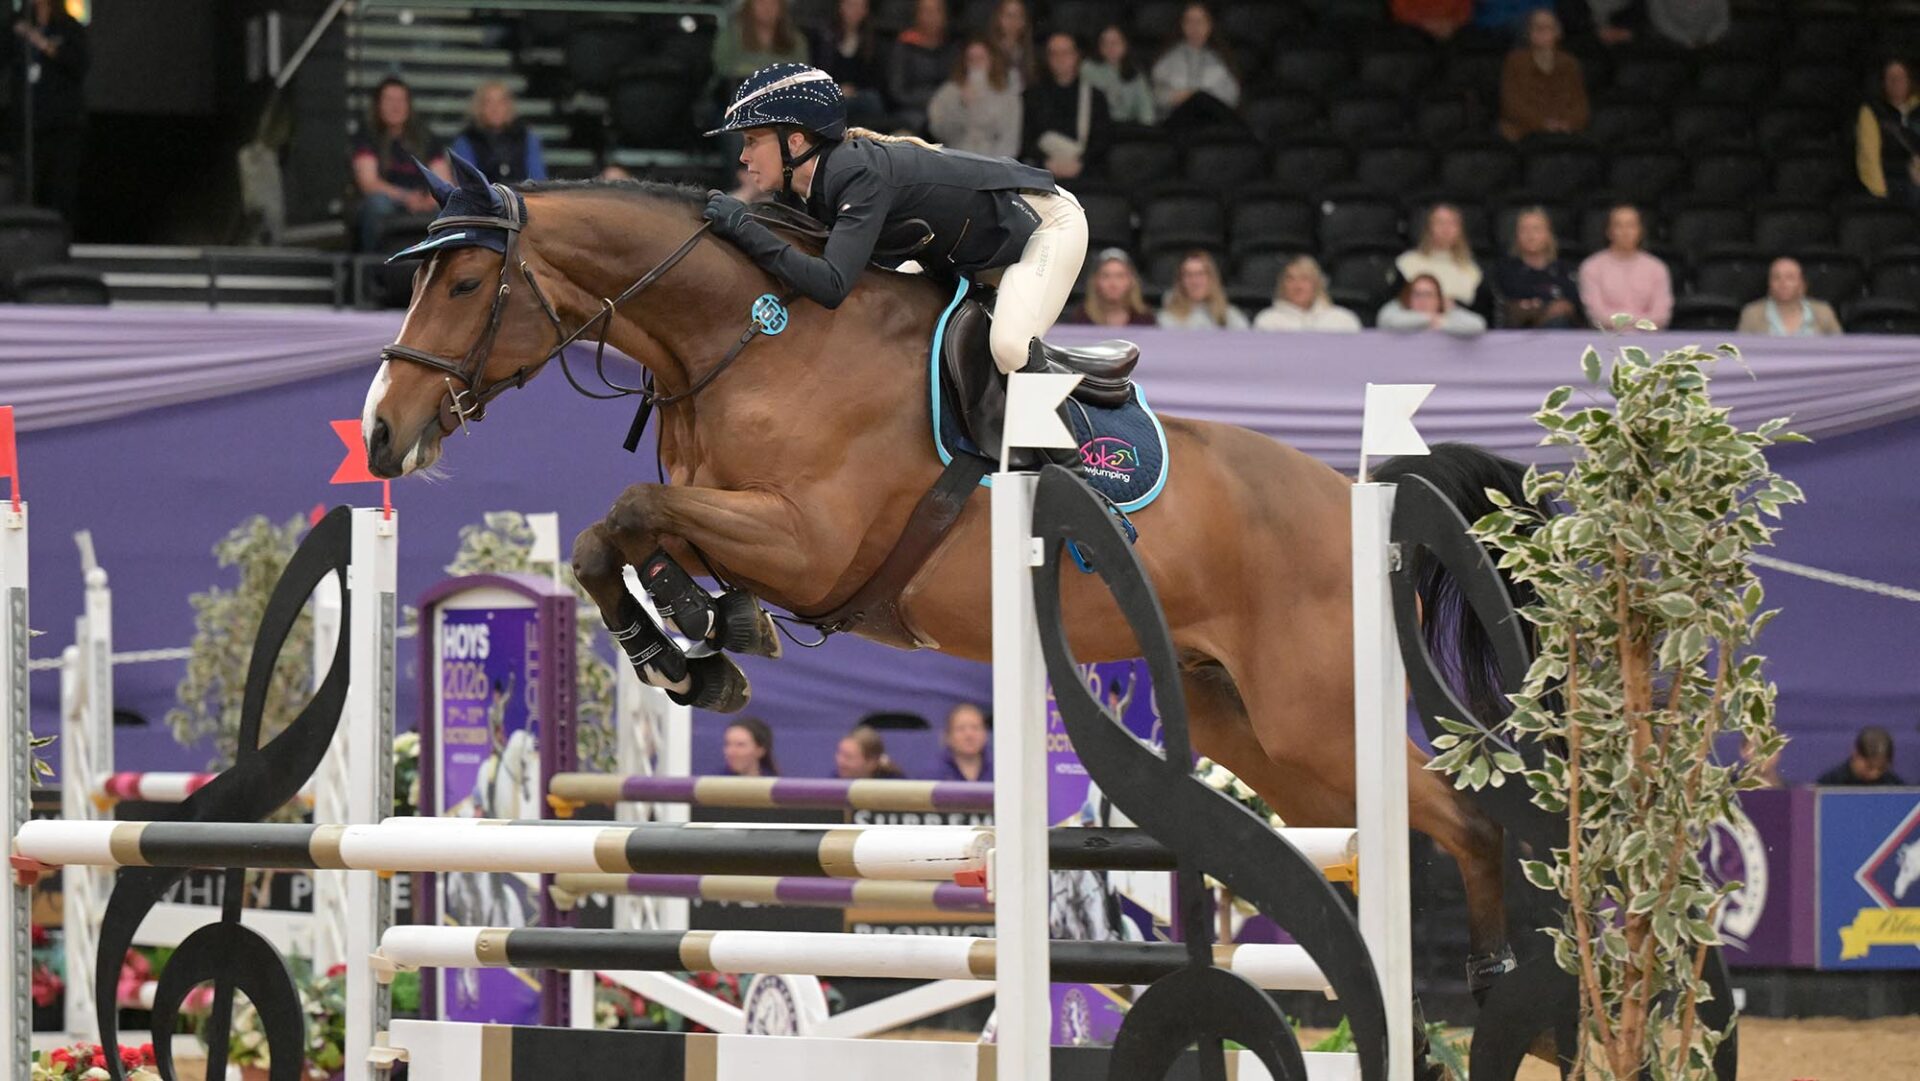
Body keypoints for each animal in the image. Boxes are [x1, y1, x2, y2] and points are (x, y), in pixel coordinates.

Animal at [360, 166, 1532, 993]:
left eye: (463, 282)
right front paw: (695, 645)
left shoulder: (810, 540)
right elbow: (617, 539)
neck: (750, 341)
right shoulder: (739, 523)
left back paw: (1492, 971)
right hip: (1259, 732)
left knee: (1462, 822)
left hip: (1311, 710)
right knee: (1371, 835)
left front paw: (699, 640)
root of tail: (1353, 499)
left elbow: (639, 517)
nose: (379, 432)